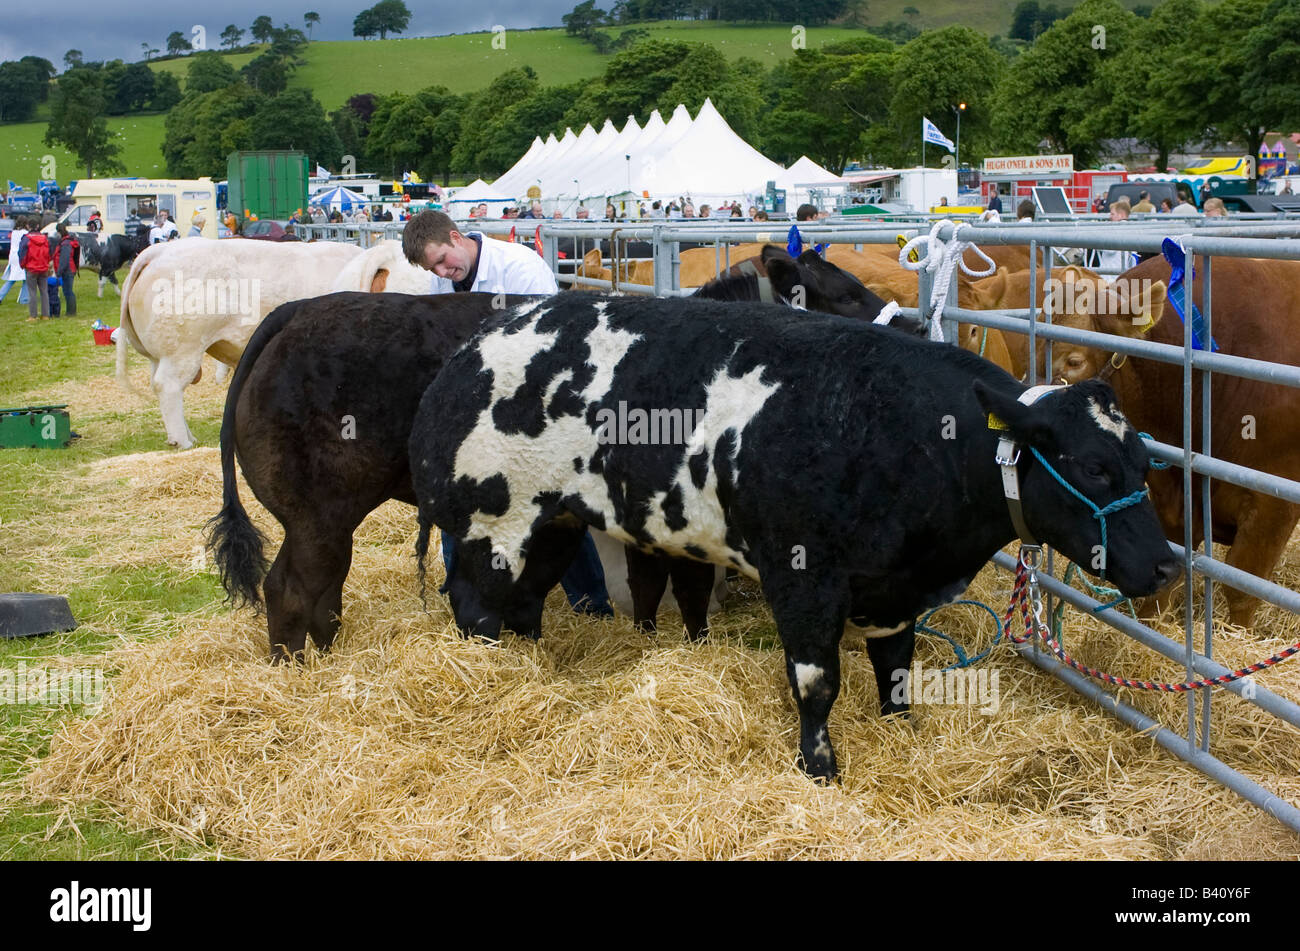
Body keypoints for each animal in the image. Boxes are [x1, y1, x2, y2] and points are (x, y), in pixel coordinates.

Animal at [407, 294, 1179, 780]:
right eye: (1093, 465)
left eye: (1144, 461)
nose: (1167, 565)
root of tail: (468, 350)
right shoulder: (804, 576)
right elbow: (816, 682)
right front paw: (820, 767)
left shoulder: (893, 587)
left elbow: (895, 670)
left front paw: (901, 735)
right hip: (490, 524)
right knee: (477, 609)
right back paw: (489, 679)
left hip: (556, 525)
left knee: (526, 601)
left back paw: (533, 670)